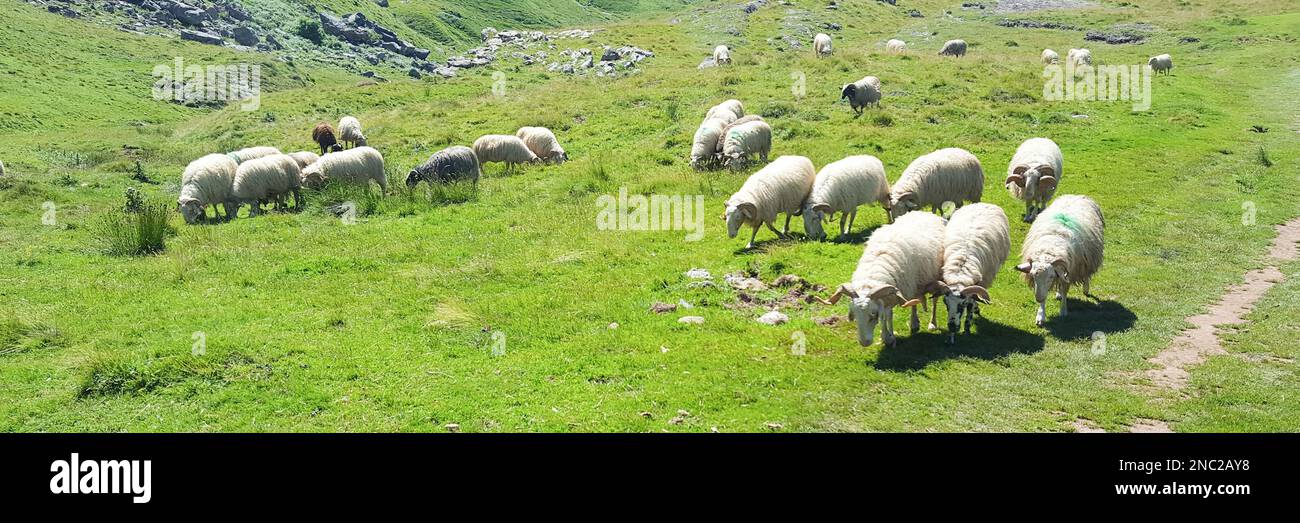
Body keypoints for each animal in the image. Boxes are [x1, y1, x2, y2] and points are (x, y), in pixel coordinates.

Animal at [813, 211, 946, 347]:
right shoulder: (889, 296)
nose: (864, 343)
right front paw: (887, 337)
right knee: (915, 302)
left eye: (873, 315)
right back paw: (914, 323)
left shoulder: (892, 294)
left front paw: (888, 337)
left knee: (934, 300)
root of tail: (924, 212)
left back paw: (932, 323)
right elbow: (888, 315)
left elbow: (886, 315)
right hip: (915, 283)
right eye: (853, 315)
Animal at [926, 203, 1010, 344]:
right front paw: (951, 336)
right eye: (946, 303)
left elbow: (971, 305)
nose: (952, 326)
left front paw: (966, 329)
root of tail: (983, 204)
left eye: (962, 305)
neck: (961, 272)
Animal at [1015, 195, 1105, 326]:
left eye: (1051, 276)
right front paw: (1040, 315)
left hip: (1088, 257)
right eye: (1033, 275)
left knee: (1086, 274)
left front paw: (1063, 311)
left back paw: (1085, 288)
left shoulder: (1070, 271)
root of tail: (1076, 196)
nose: (1038, 298)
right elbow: (1046, 296)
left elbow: (1064, 290)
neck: (1049, 249)